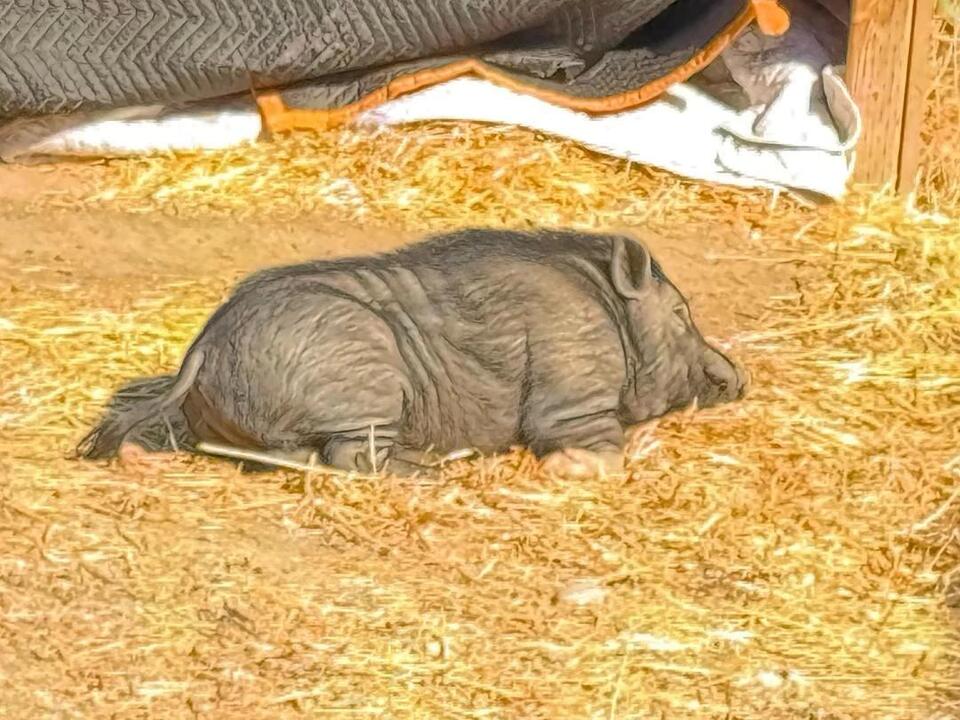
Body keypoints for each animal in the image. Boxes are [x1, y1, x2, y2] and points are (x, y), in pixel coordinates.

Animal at [77, 229, 747, 478]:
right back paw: (428, 471)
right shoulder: (573, 385)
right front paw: (587, 469)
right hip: (359, 374)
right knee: (351, 456)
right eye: (682, 314)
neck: (610, 312)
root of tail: (205, 344)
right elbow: (588, 442)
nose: (737, 377)